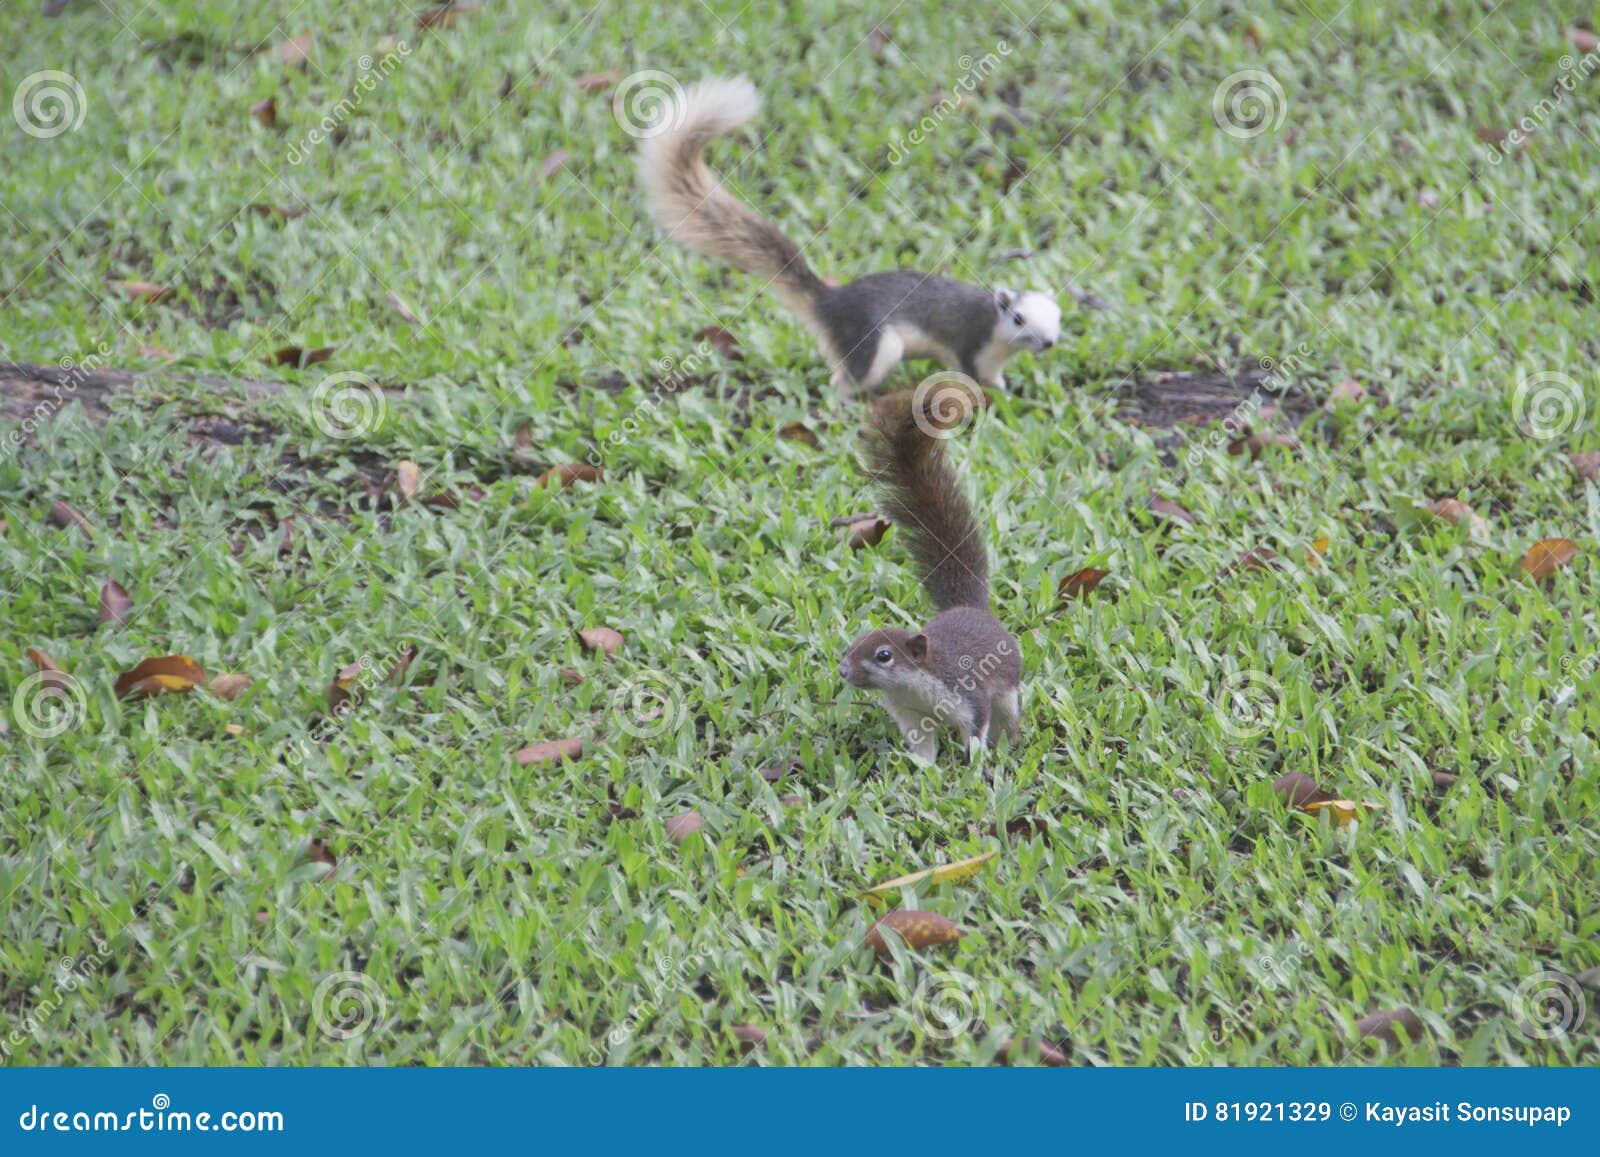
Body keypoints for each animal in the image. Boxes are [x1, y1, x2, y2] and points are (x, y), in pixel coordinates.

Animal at [638, 76, 1061, 398]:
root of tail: (831, 302)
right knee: (842, 381)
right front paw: (1001, 399)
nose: (1049, 343)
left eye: (1057, 317)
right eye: (1019, 319)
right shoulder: (972, 350)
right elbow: (979, 379)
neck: (998, 338)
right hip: (879, 346)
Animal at [837, 380, 1022, 762]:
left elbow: (977, 730)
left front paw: (974, 766)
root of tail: (970, 608)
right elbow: (922, 745)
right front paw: (923, 770)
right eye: (855, 642)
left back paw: (1009, 746)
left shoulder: (969, 697)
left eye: (884, 655)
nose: (843, 670)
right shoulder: (908, 714)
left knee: (1008, 716)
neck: (914, 688)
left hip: (1009, 689)